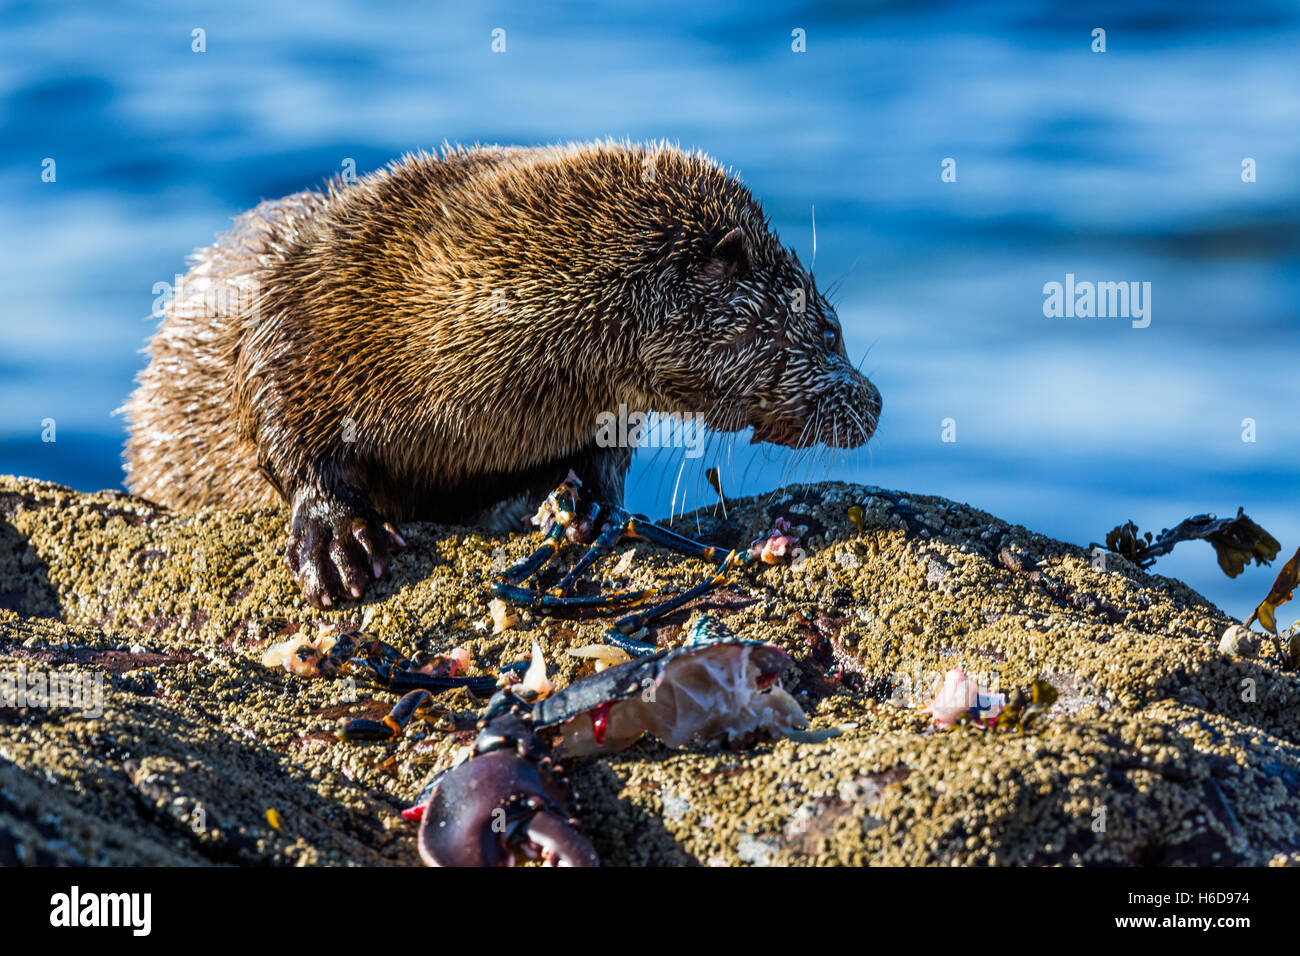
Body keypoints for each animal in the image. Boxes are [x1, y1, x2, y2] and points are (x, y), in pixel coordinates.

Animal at [124, 142, 881, 607]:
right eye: (831, 331)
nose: (873, 401)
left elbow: (605, 452)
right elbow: (279, 419)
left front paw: (589, 504)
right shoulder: (304, 303)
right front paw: (338, 537)